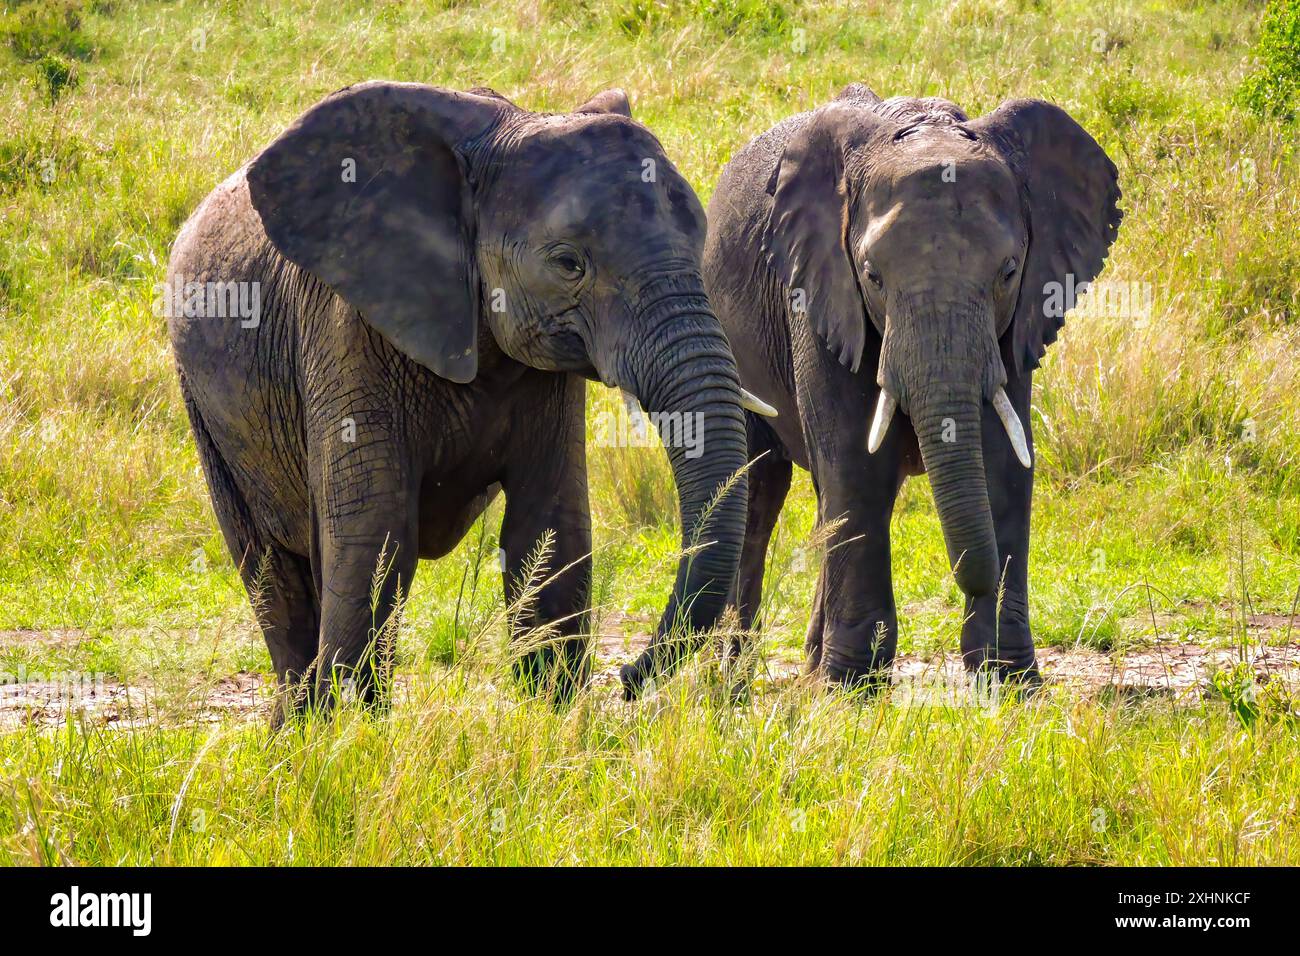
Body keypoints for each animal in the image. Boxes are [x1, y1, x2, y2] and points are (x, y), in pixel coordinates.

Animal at [167, 81, 762, 719]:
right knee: (269, 568)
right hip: (203, 403)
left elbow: (550, 525)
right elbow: (376, 533)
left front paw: (554, 718)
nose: (627, 680)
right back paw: (302, 726)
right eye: (568, 264)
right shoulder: (344, 327)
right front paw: (355, 729)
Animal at [685, 84, 1121, 693]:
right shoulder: (819, 291)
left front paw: (1009, 680)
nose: (973, 578)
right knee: (763, 488)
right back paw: (732, 680)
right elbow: (854, 461)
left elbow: (1004, 464)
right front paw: (850, 685)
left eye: (1009, 272)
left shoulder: (1018, 320)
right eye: (872, 275)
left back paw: (806, 665)